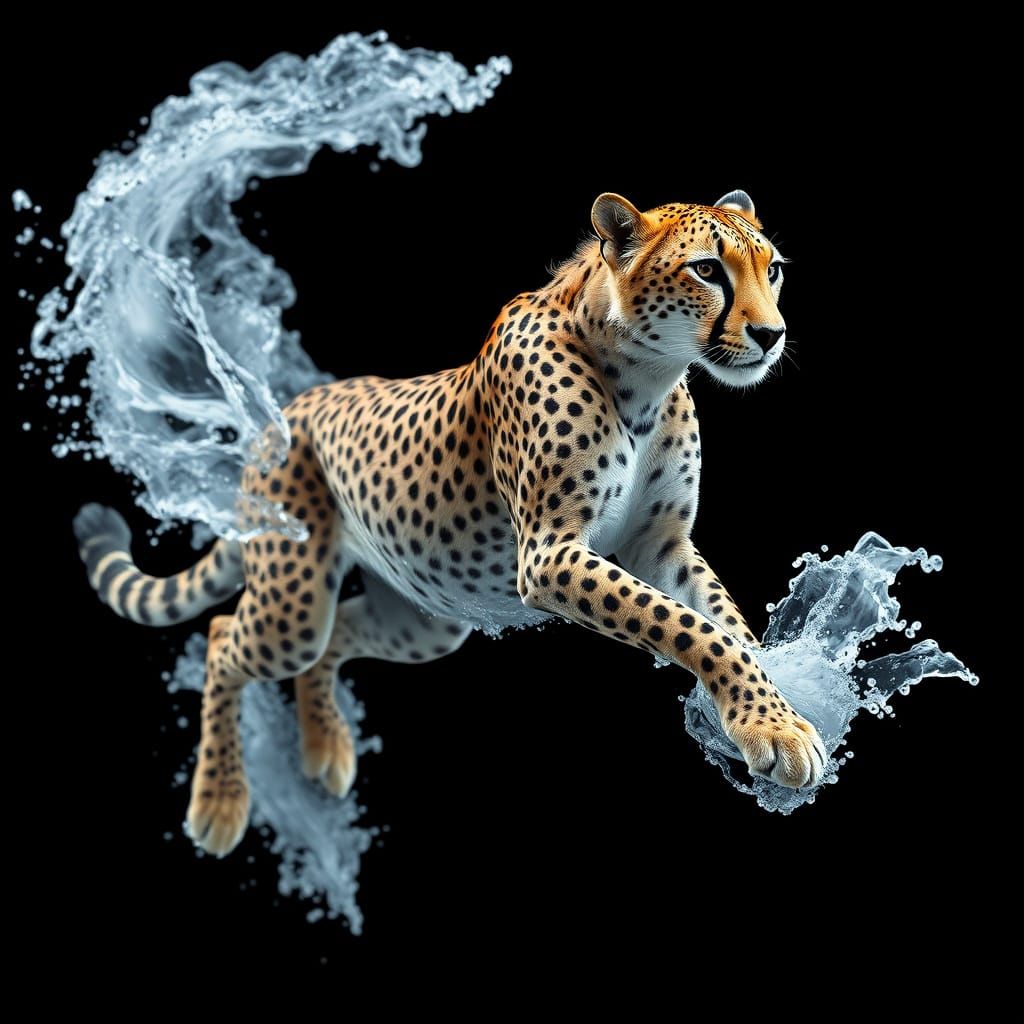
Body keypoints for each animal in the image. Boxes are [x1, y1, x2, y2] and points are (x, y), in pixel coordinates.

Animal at [74, 189, 827, 856]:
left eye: (773, 269)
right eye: (708, 270)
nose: (771, 335)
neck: (645, 372)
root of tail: (287, 411)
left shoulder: (660, 544)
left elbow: (722, 623)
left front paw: (776, 706)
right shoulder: (549, 555)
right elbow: (693, 629)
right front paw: (774, 727)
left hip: (424, 618)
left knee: (334, 640)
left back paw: (324, 746)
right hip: (294, 603)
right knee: (224, 638)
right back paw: (221, 801)